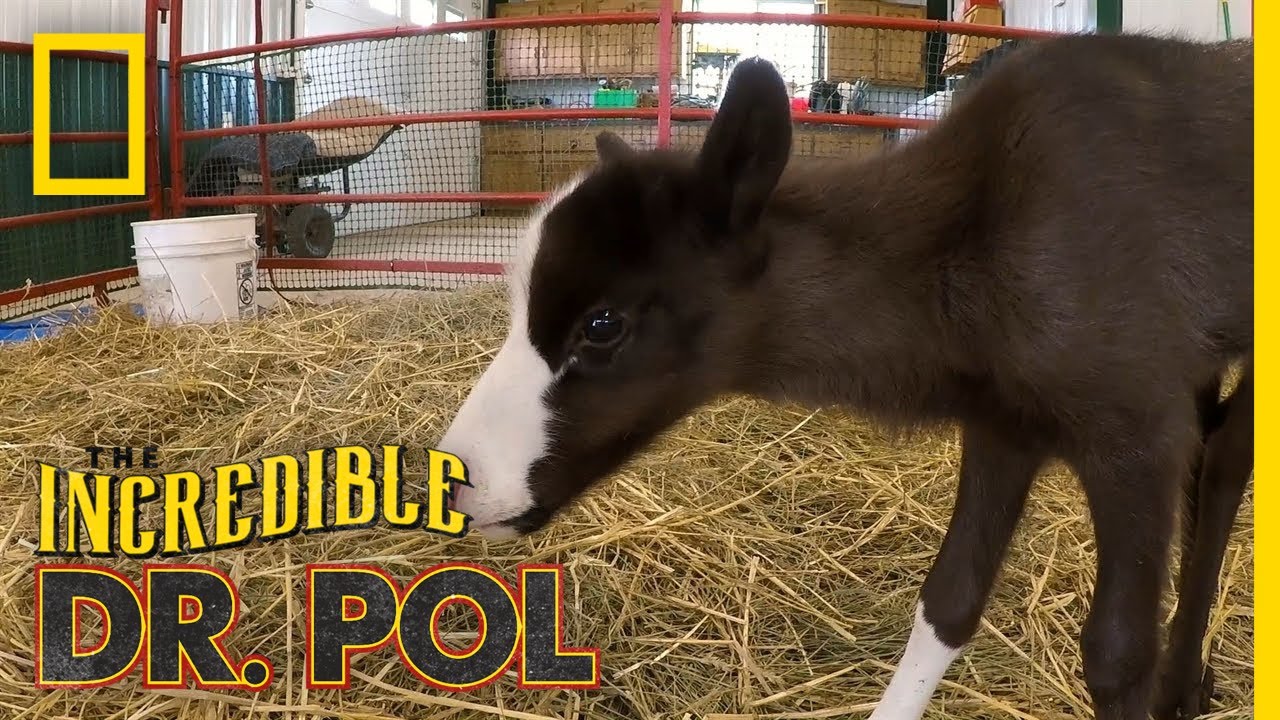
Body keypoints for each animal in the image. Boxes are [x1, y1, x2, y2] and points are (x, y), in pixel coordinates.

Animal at [437, 32, 1253, 720]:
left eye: (602, 325)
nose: (455, 478)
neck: (970, 254)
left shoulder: (1136, 431)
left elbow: (1116, 655)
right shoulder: (1004, 422)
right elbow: (949, 601)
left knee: (1222, 464)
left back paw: (1182, 684)